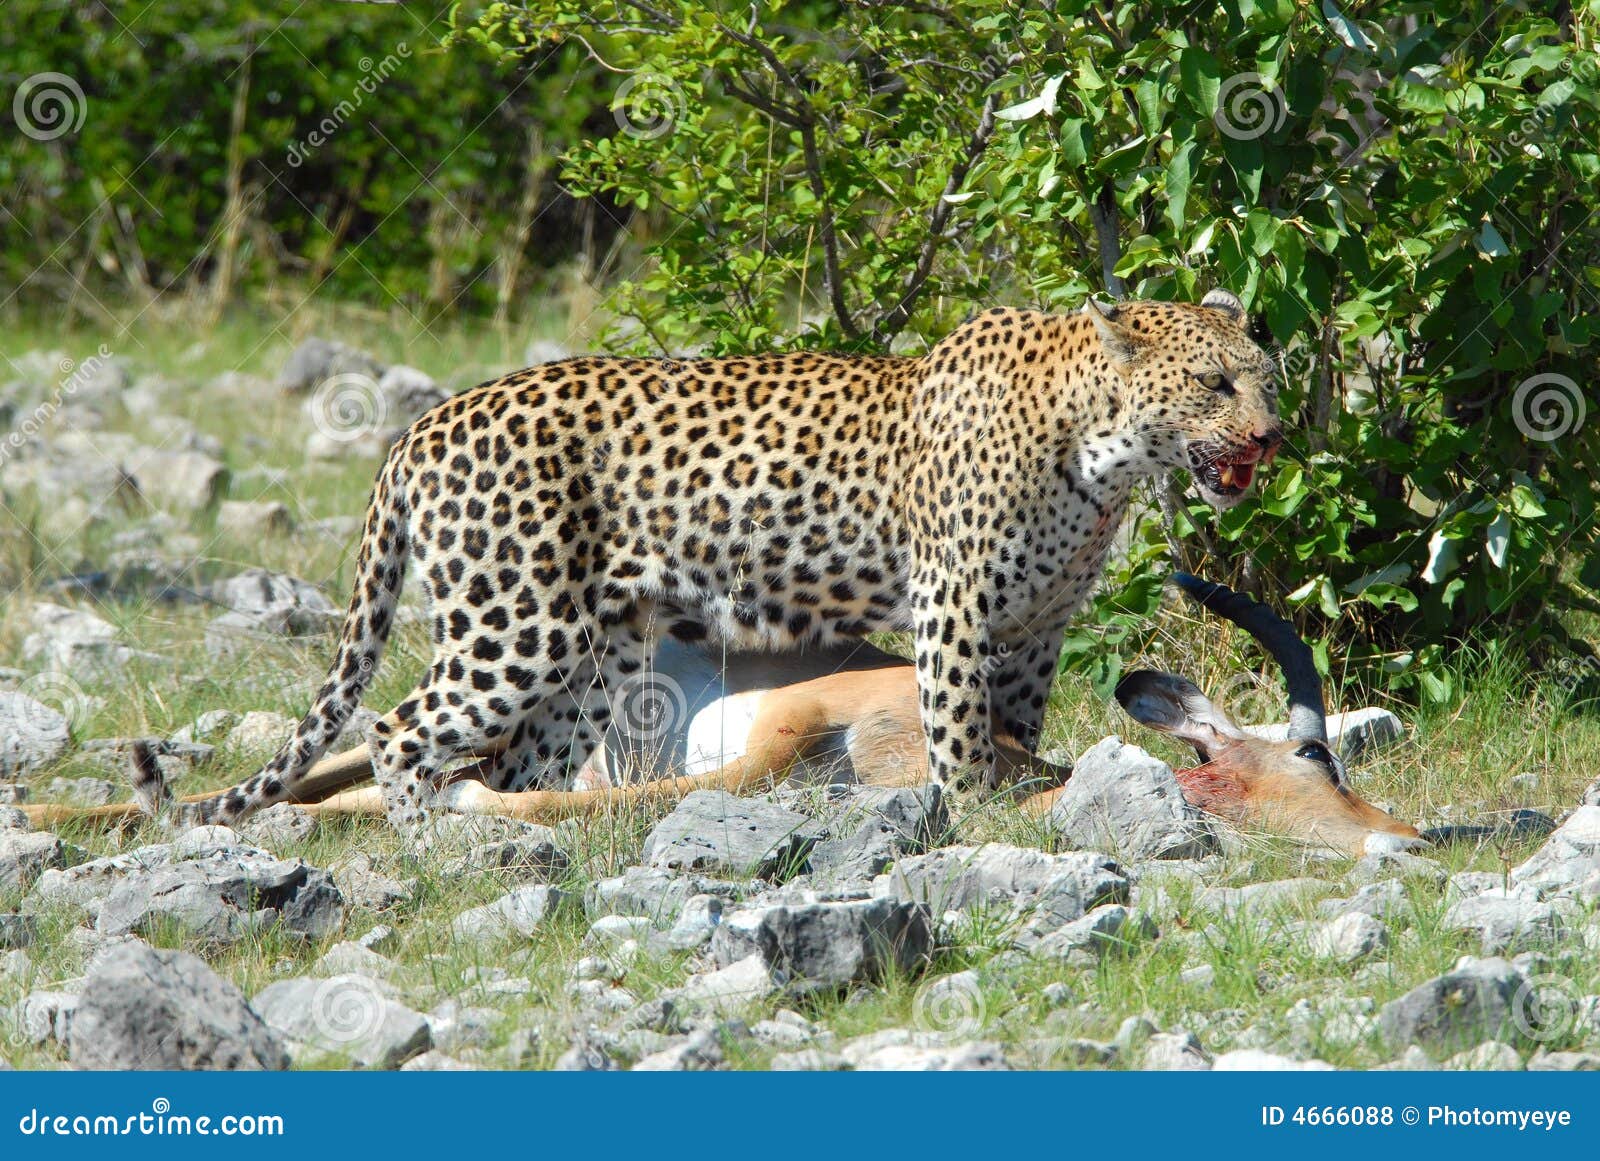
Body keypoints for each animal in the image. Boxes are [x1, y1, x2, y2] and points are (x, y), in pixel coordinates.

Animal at [159, 288, 1283, 839]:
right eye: (1216, 384)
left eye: (1266, 379)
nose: (1272, 436)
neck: (1103, 453)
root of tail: (419, 426)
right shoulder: (956, 611)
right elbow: (960, 737)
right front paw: (976, 818)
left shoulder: (1035, 629)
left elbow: (1013, 729)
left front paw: (1025, 793)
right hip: (515, 627)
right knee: (398, 729)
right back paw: (425, 848)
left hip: (594, 657)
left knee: (516, 768)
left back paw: (517, 849)